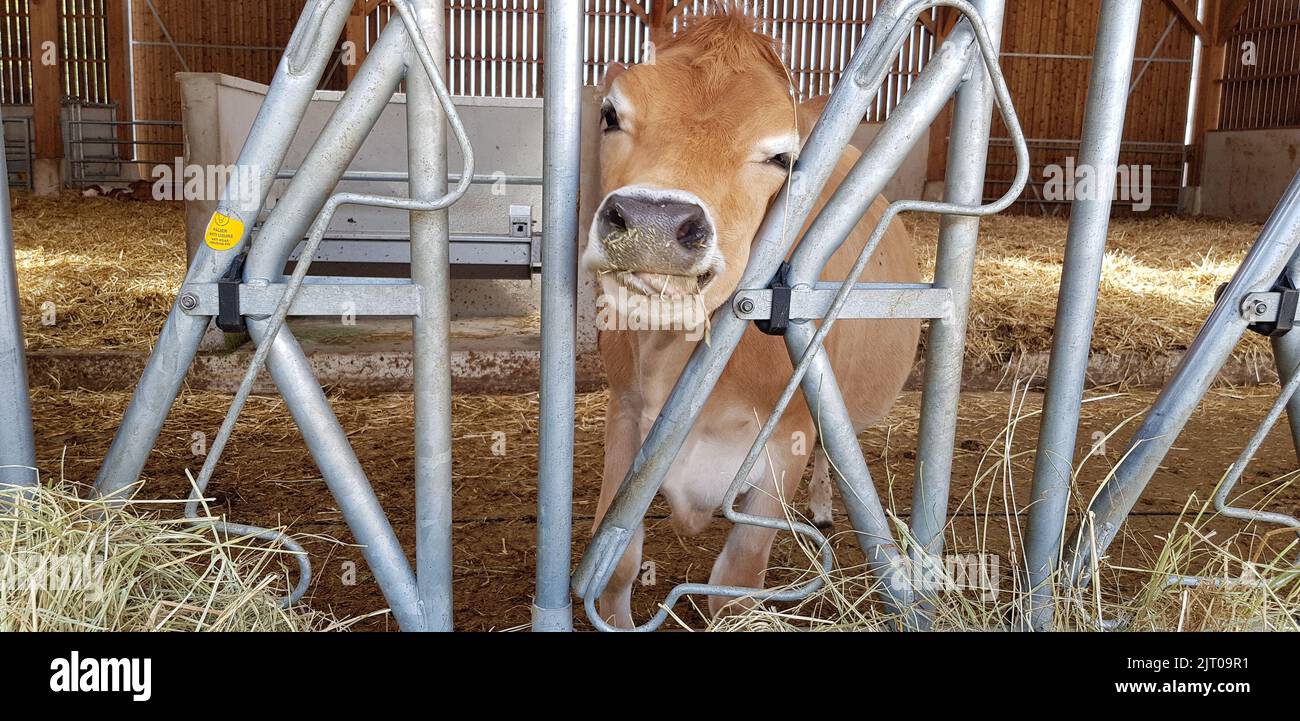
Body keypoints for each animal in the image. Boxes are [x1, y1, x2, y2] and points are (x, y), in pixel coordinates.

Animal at [581, 7, 922, 628]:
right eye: (611, 113)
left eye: (781, 157)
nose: (653, 223)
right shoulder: (625, 412)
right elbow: (614, 564)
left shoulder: (785, 439)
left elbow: (736, 587)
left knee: (834, 452)